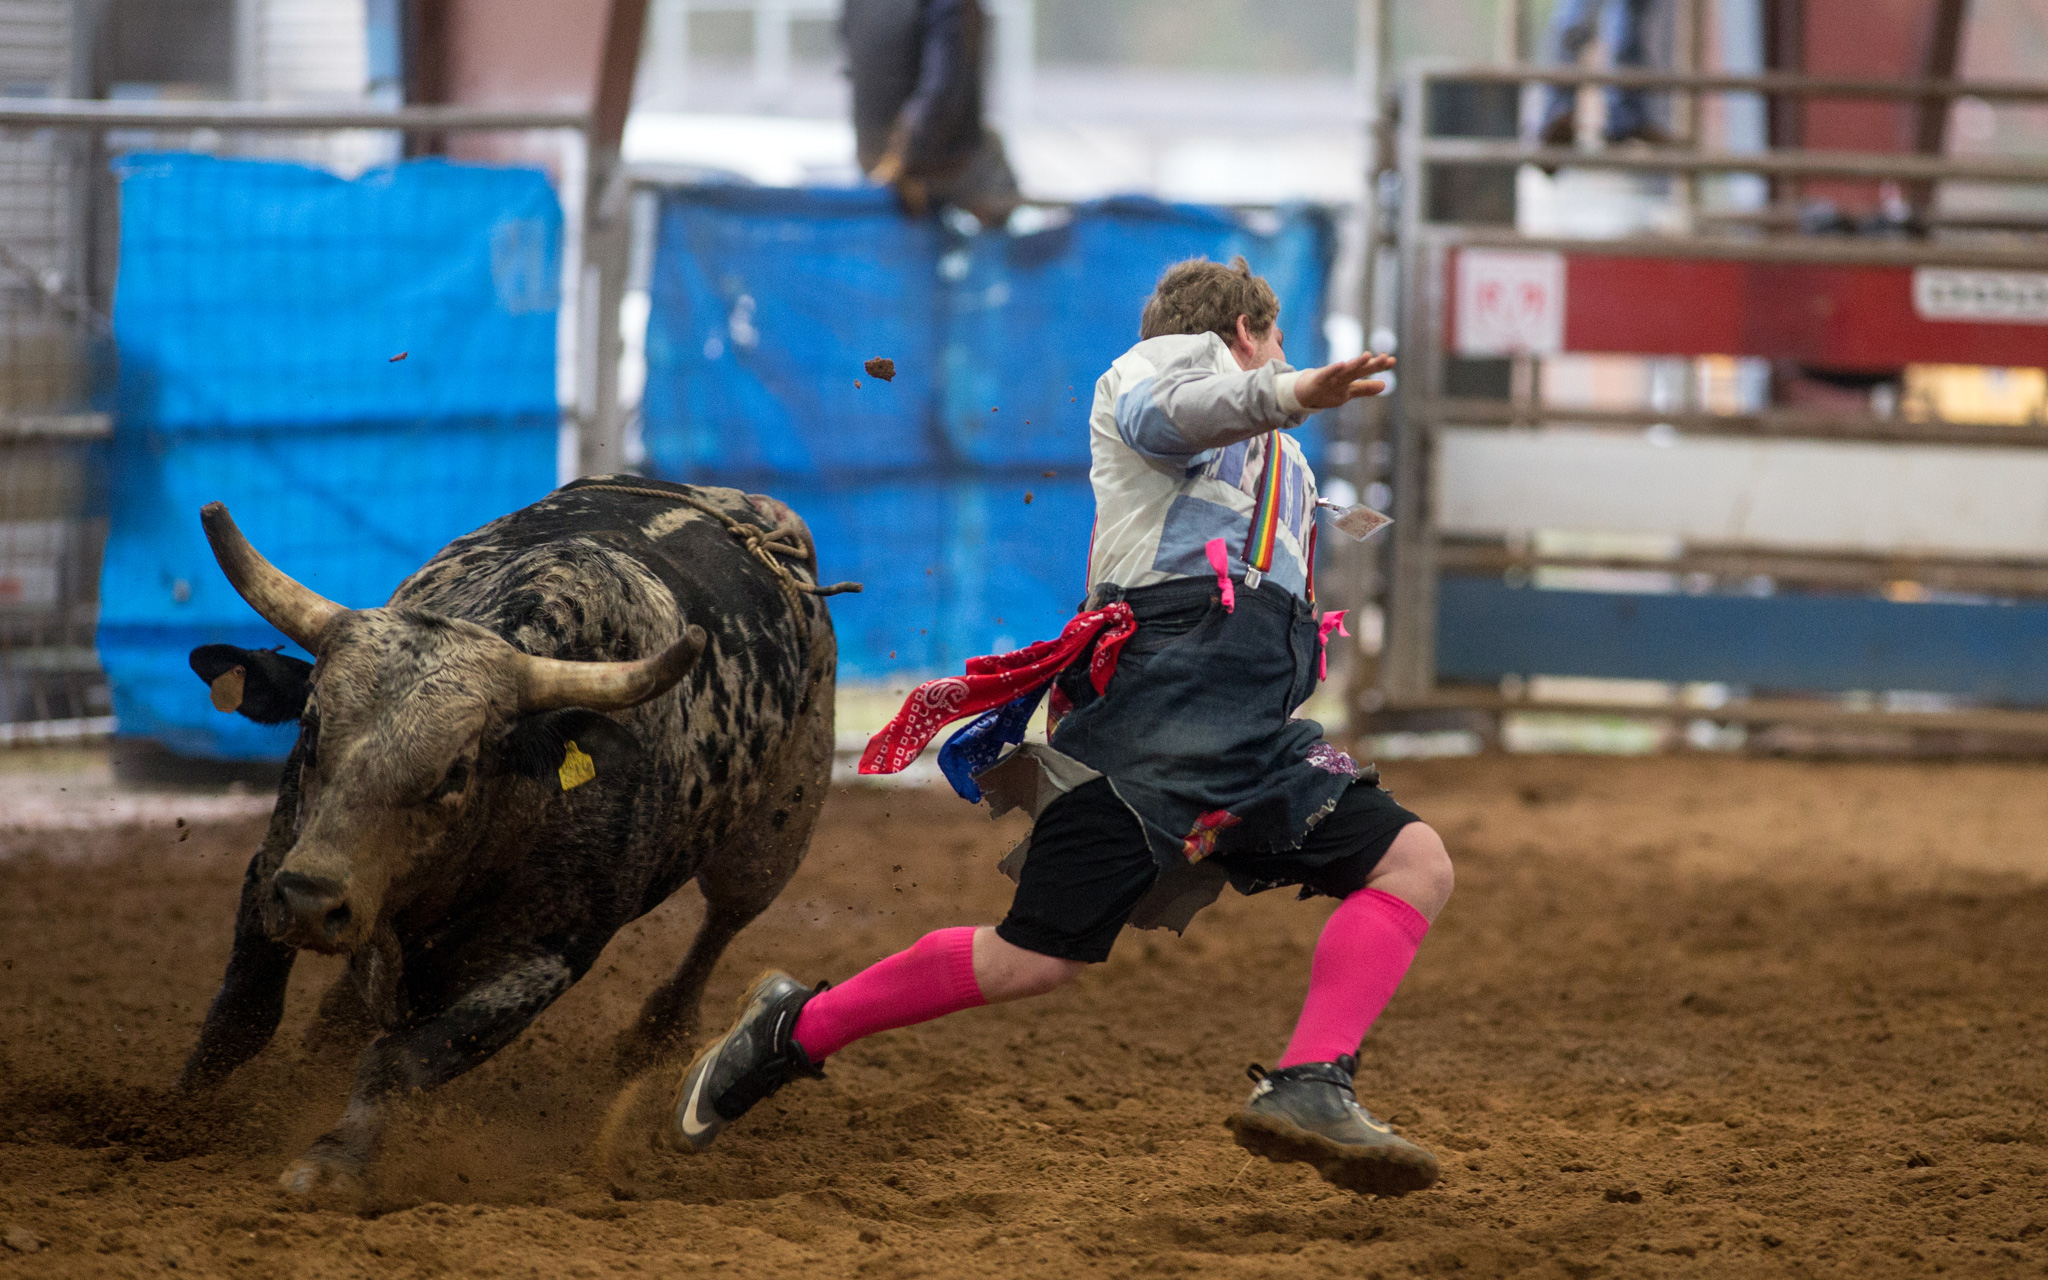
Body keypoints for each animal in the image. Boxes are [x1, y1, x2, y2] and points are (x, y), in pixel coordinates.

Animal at [175, 477, 843, 1200]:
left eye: (456, 771)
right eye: (310, 723)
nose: (309, 901)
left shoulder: (545, 959)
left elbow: (405, 1058)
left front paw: (332, 1158)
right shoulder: (274, 860)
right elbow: (243, 1012)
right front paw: (180, 1114)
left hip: (777, 831)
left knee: (722, 921)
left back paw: (654, 1040)